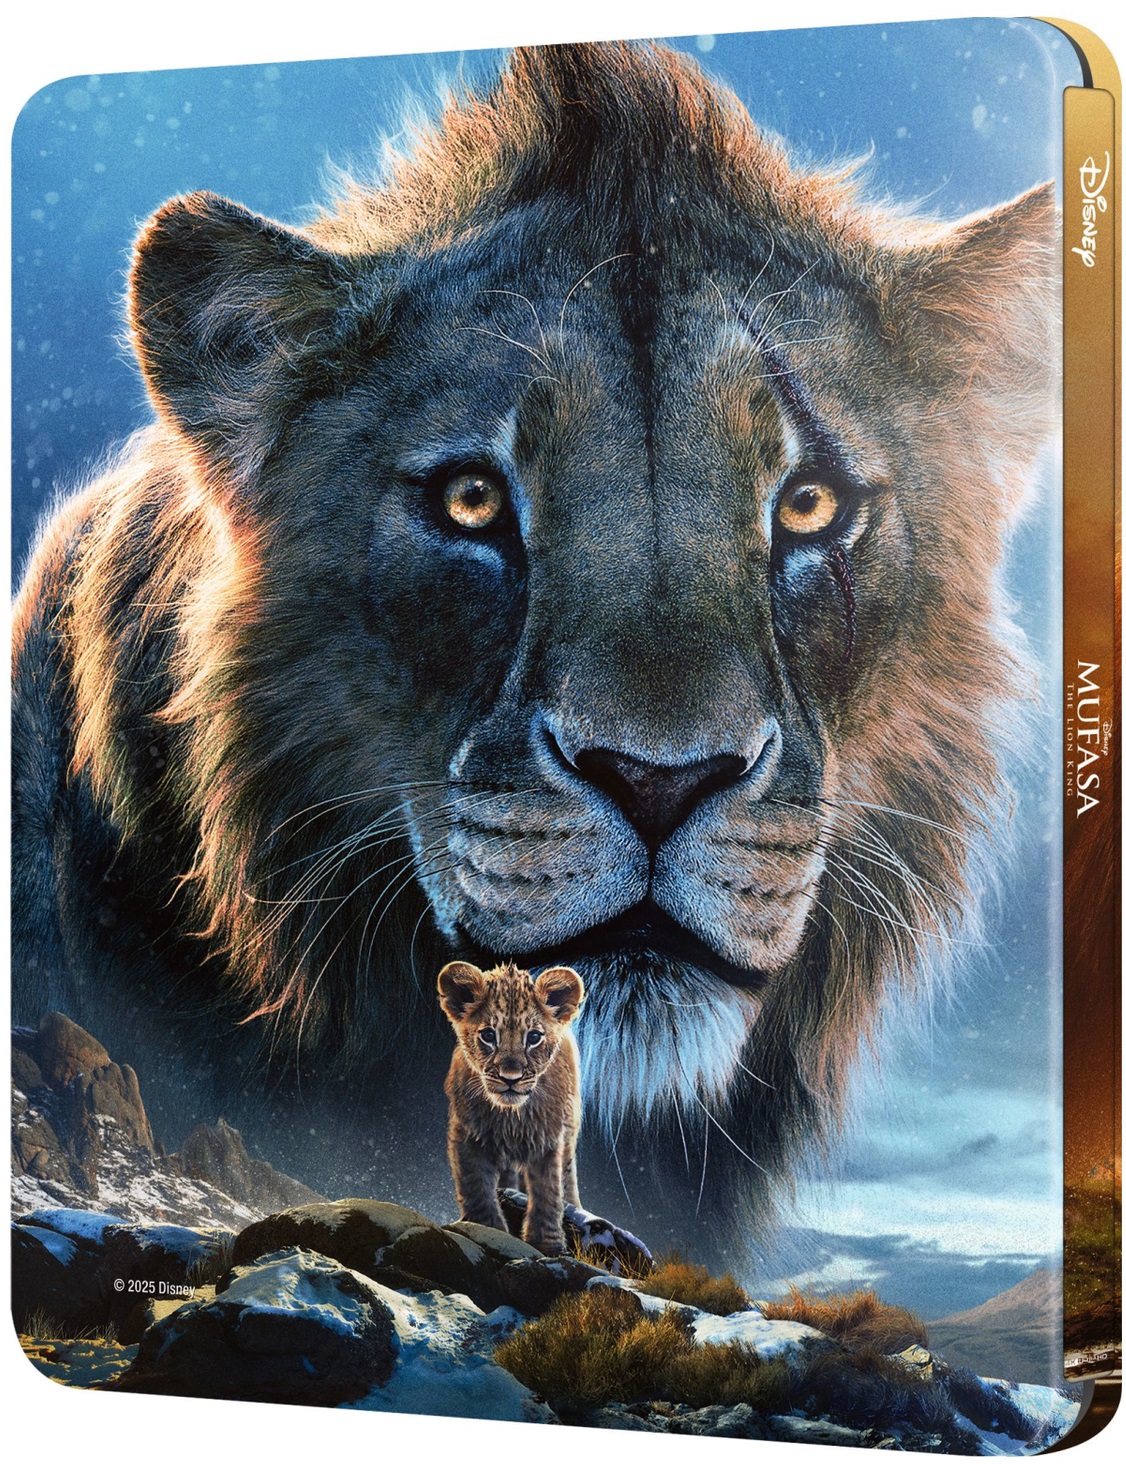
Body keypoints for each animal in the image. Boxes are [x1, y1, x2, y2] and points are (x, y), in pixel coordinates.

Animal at [438, 961, 584, 1253]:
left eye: (534, 1037)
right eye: (488, 1035)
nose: (510, 1078)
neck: (511, 1116)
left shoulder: (549, 1138)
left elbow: (548, 1192)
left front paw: (547, 1245)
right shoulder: (466, 1135)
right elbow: (476, 1189)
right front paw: (489, 1231)